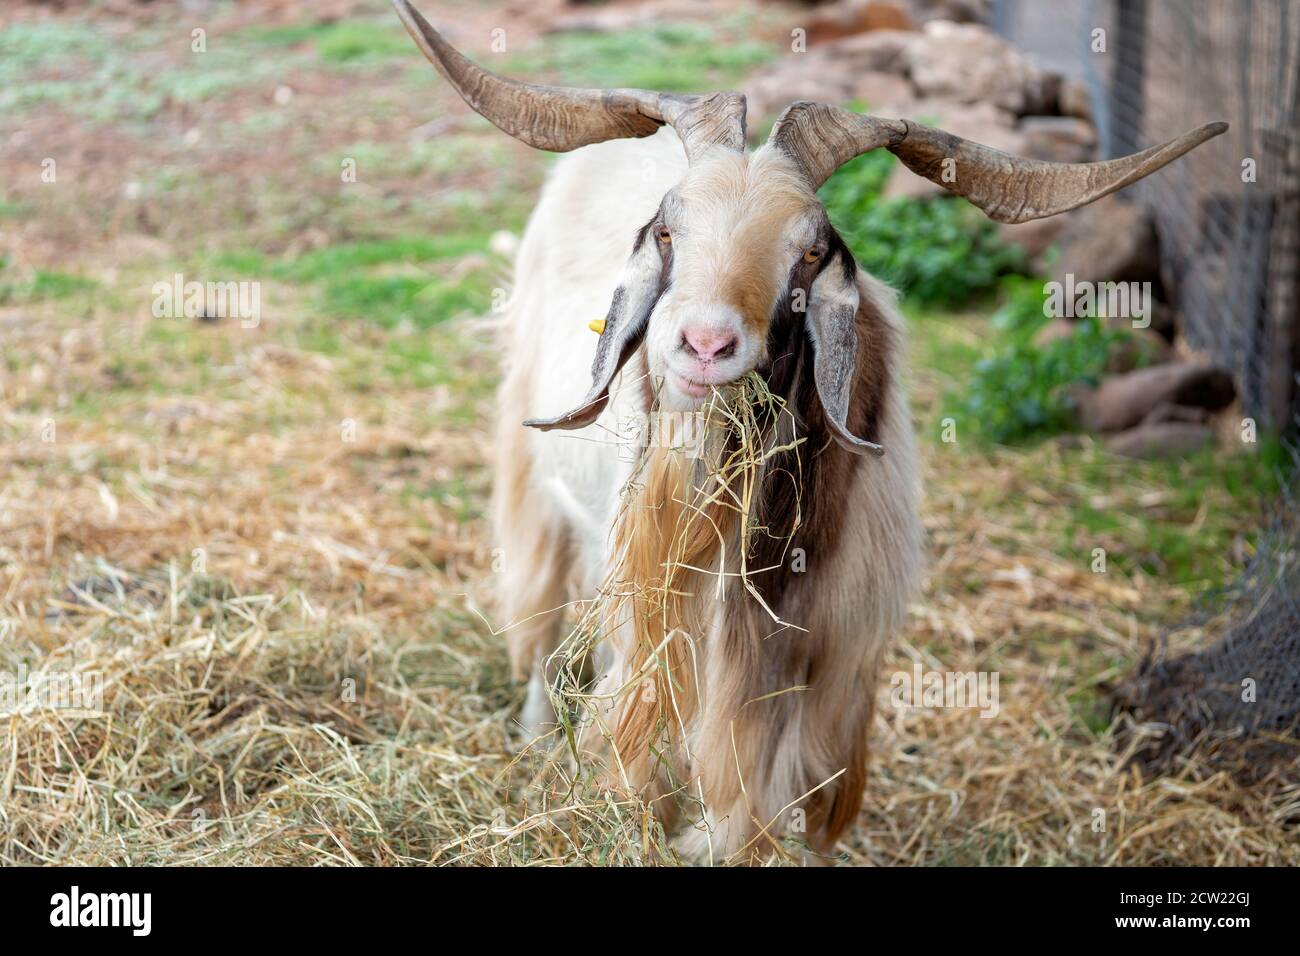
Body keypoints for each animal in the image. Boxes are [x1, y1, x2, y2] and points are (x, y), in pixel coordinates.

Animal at [392, 0, 1225, 862]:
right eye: (668, 230)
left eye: (811, 249)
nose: (704, 344)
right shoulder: (676, 629)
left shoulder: (825, 654)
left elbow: (774, 792)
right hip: (539, 486)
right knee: (544, 607)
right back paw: (533, 733)